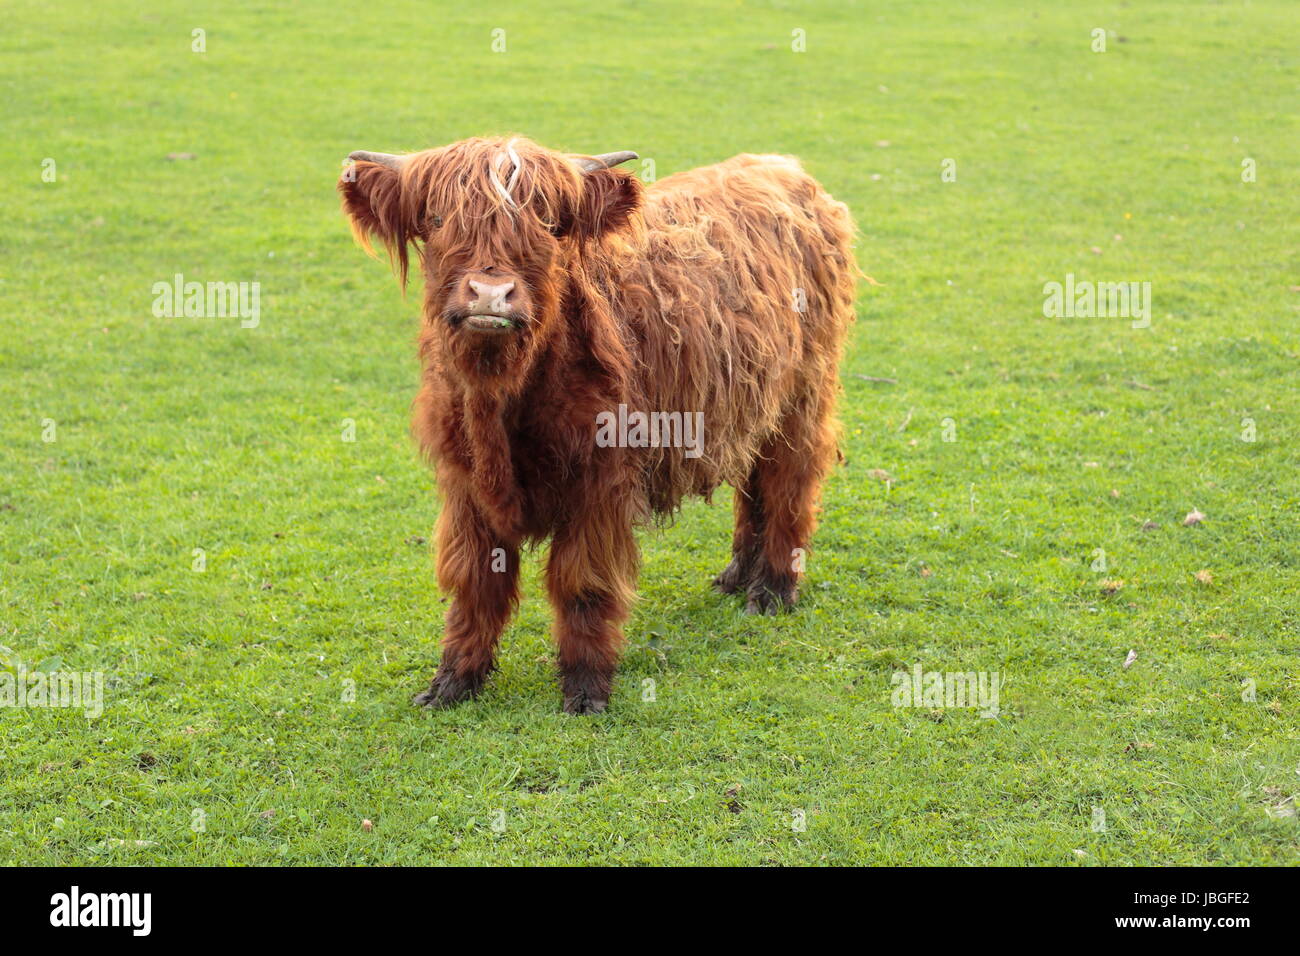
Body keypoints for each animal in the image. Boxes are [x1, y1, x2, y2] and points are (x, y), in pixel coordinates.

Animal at [338, 135, 857, 713]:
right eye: (435, 217)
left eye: (546, 221)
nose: (490, 295)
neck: (502, 401)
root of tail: (780, 167)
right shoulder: (464, 485)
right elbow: (473, 584)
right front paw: (452, 683)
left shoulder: (599, 481)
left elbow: (581, 584)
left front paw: (585, 691)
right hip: (750, 402)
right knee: (753, 480)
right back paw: (736, 576)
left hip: (803, 395)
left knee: (790, 481)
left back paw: (771, 591)